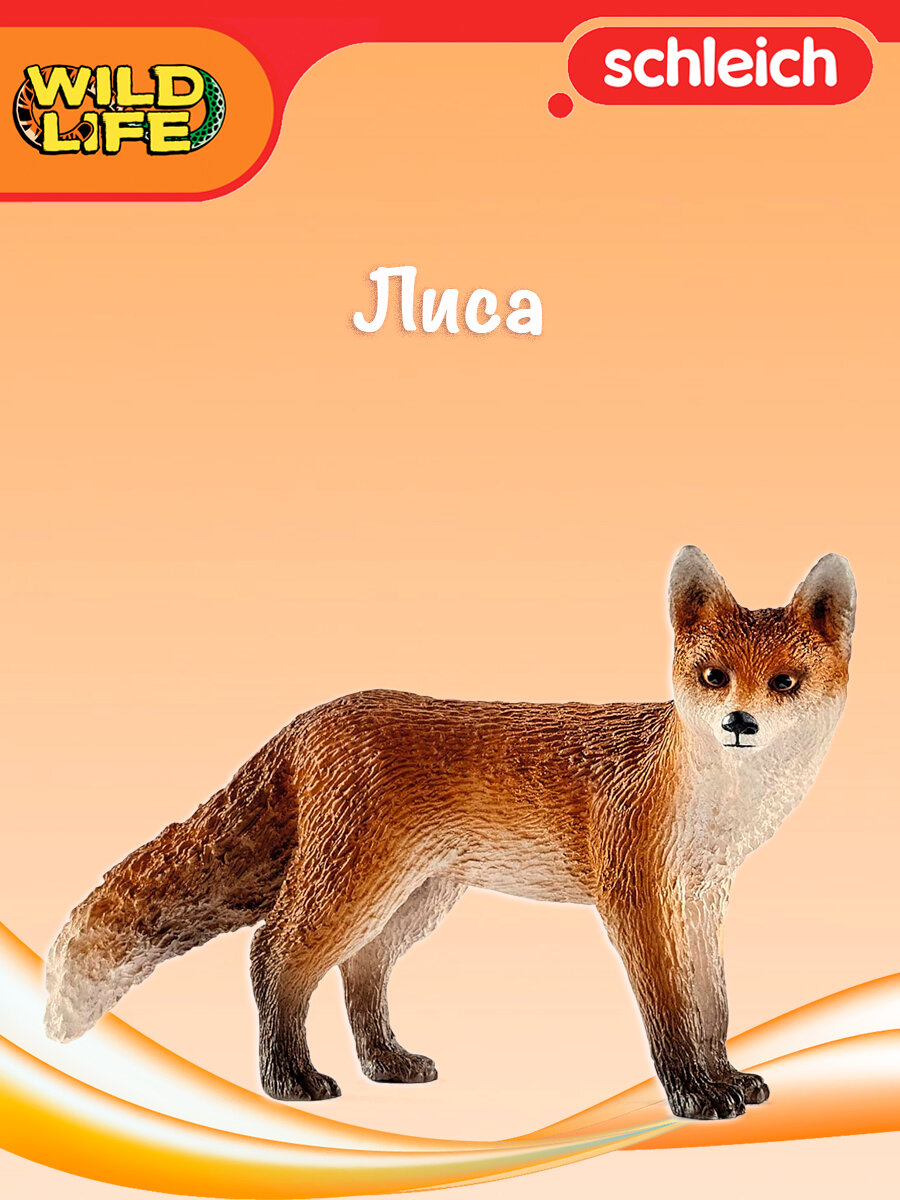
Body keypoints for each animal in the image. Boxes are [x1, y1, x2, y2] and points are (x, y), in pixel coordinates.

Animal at [44, 547, 856, 1121]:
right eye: (714, 676)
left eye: (784, 683)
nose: (740, 724)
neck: (711, 805)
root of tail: (307, 720)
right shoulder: (635, 901)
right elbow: (673, 1012)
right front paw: (693, 1094)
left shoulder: (699, 900)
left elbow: (713, 1006)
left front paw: (727, 1078)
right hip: (355, 887)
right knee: (274, 955)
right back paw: (289, 1079)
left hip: (415, 901)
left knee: (359, 970)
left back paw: (386, 1063)